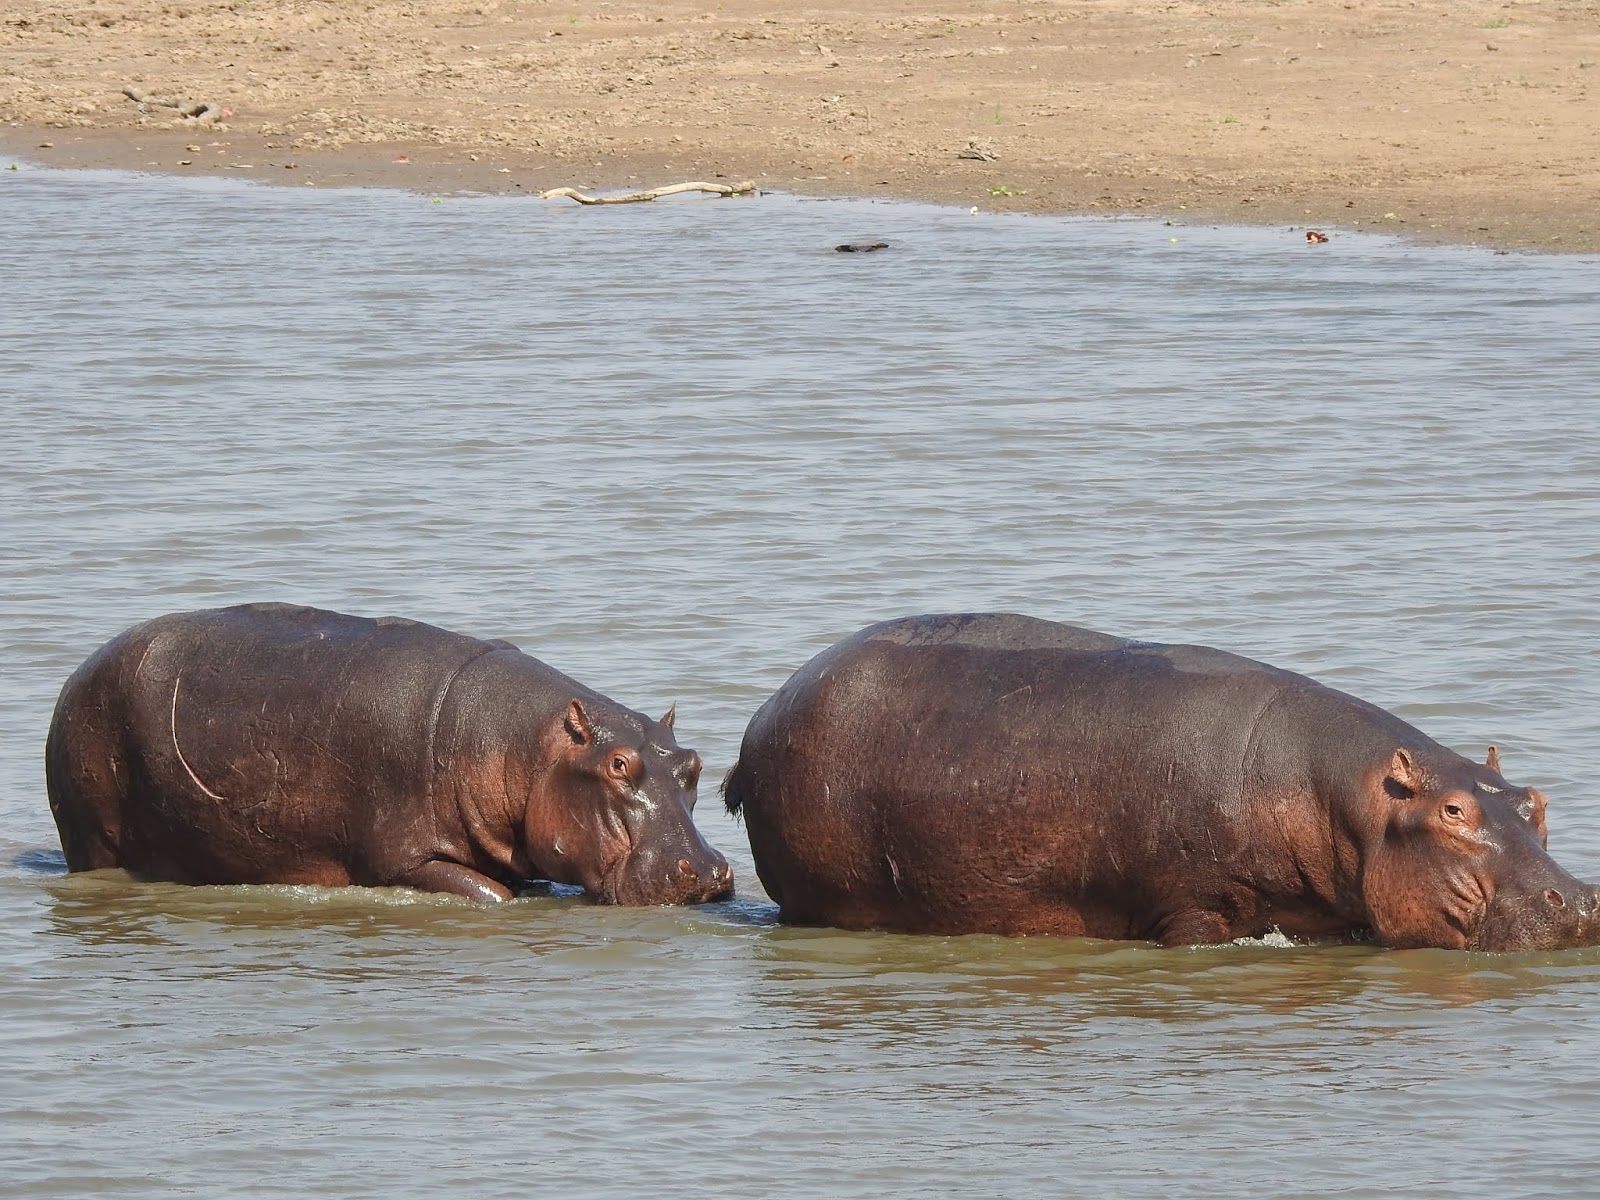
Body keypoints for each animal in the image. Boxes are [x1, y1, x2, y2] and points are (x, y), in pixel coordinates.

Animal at [47, 603, 734, 905]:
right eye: (618, 765)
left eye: (694, 763)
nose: (708, 871)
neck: (523, 750)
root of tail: (76, 674)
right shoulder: (403, 859)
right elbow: (496, 896)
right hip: (90, 832)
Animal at [723, 613, 1600, 951]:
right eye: (1452, 810)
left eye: (1535, 802)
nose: (1583, 900)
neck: (1348, 801)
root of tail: (761, 714)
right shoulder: (1190, 906)